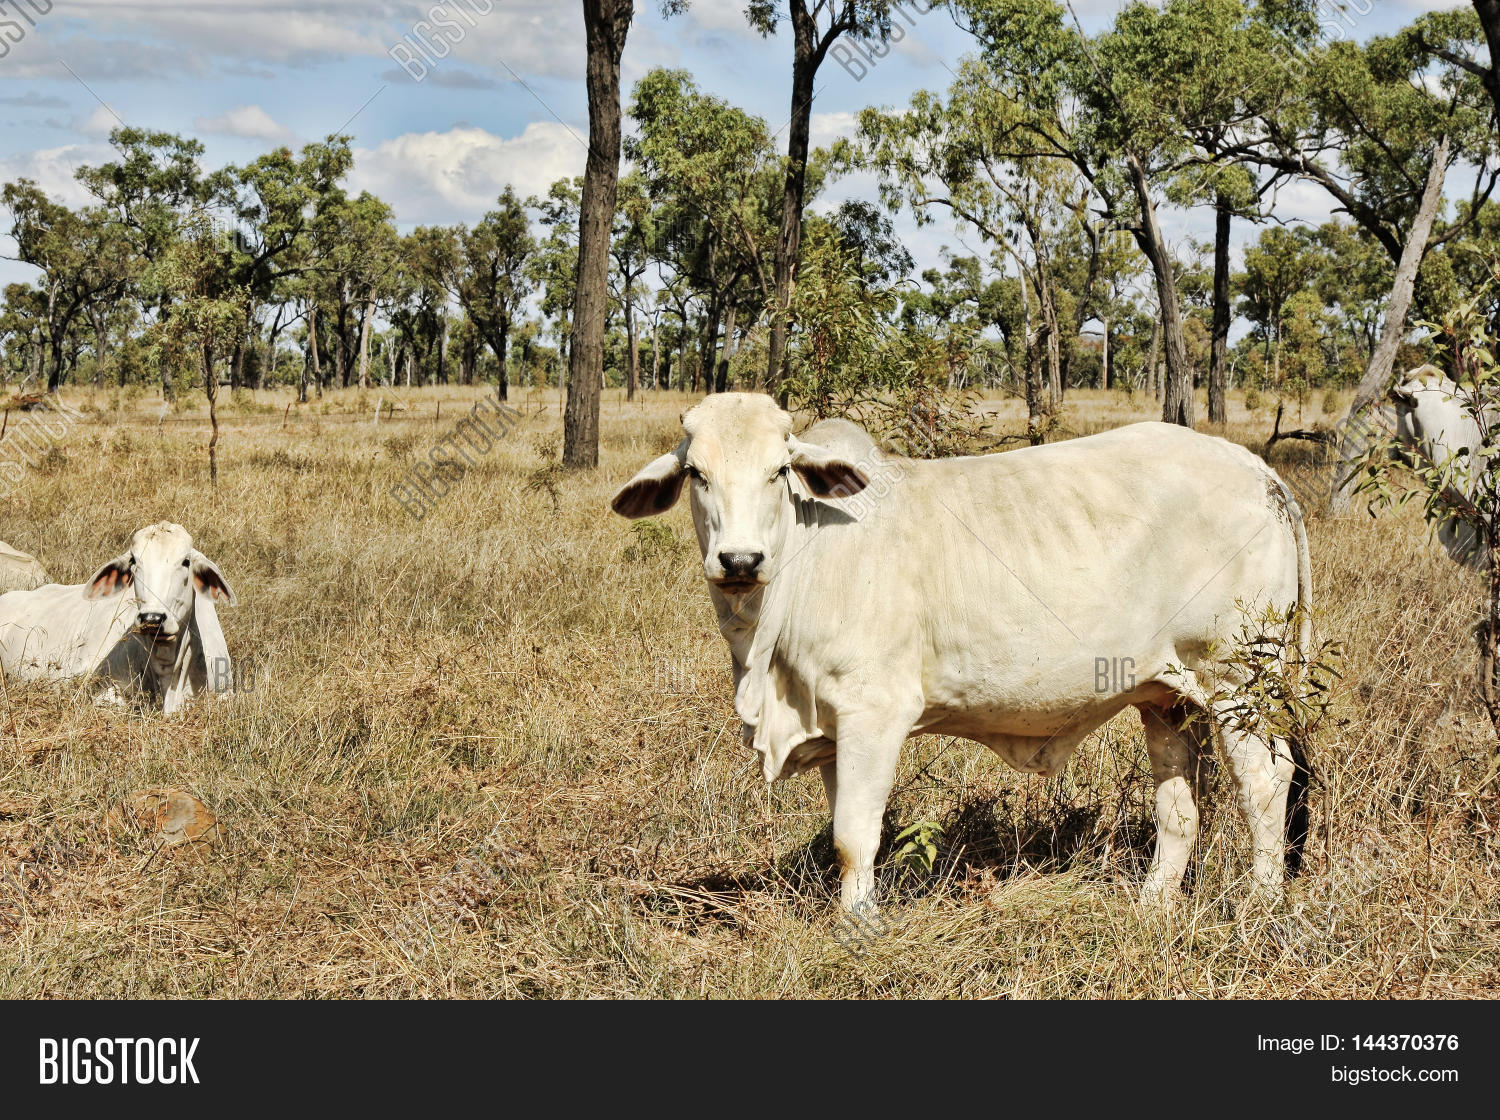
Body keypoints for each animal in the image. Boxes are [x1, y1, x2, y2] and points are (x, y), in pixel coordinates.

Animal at [612, 394, 1313, 912]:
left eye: (778, 471)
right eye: (697, 474)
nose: (739, 560)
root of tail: (1264, 475)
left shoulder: (874, 712)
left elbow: (854, 837)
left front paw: (857, 926)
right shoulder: (835, 728)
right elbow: (845, 833)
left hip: (1240, 679)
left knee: (1267, 783)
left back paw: (1259, 904)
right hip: (1168, 696)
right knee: (1179, 801)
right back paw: (1153, 904)